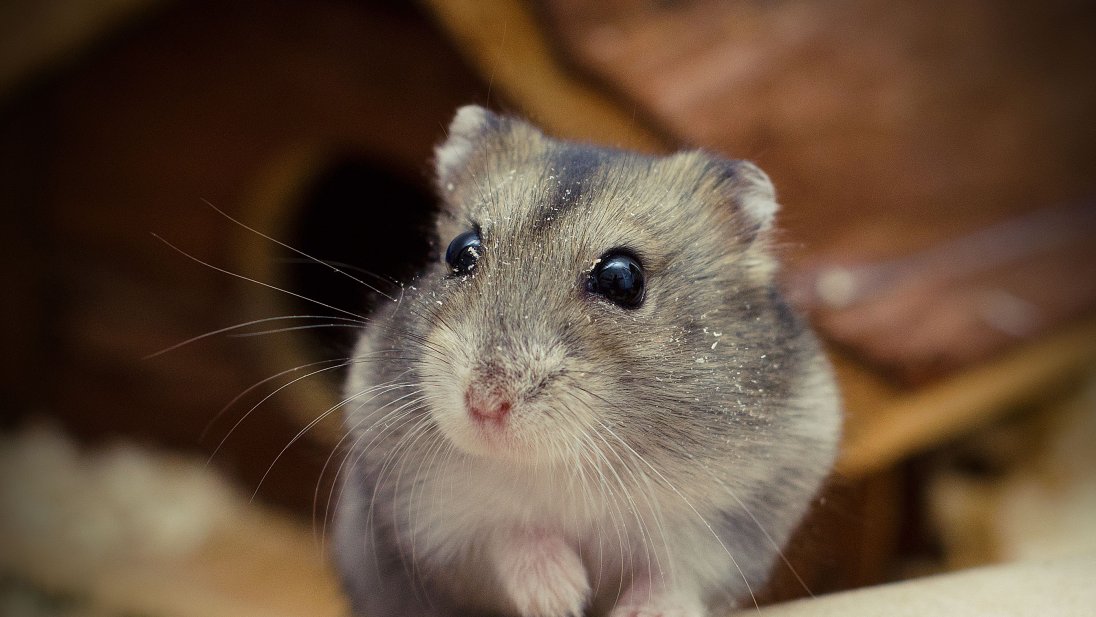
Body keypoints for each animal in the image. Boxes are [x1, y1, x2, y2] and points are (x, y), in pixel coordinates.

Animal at [333, 105, 841, 617]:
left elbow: (676, 577)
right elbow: (503, 535)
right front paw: (565, 595)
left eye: (622, 279)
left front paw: (637, 611)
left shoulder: (732, 524)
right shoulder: (433, 522)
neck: (561, 463)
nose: (485, 404)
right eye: (460, 251)